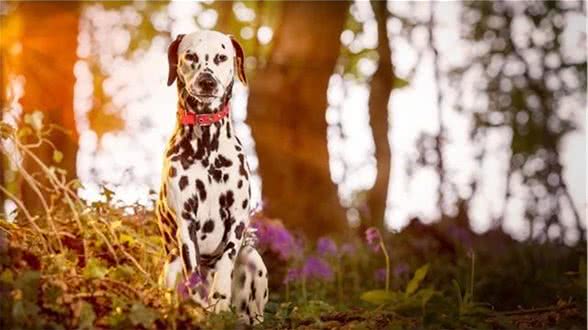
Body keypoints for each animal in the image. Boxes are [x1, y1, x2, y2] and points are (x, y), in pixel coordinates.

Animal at [155, 31, 268, 324]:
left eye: (221, 57)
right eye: (190, 56)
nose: (207, 81)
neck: (206, 145)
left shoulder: (237, 219)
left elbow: (225, 264)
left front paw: (218, 301)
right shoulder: (186, 224)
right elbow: (194, 277)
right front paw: (202, 305)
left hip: (253, 258)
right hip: (169, 267)